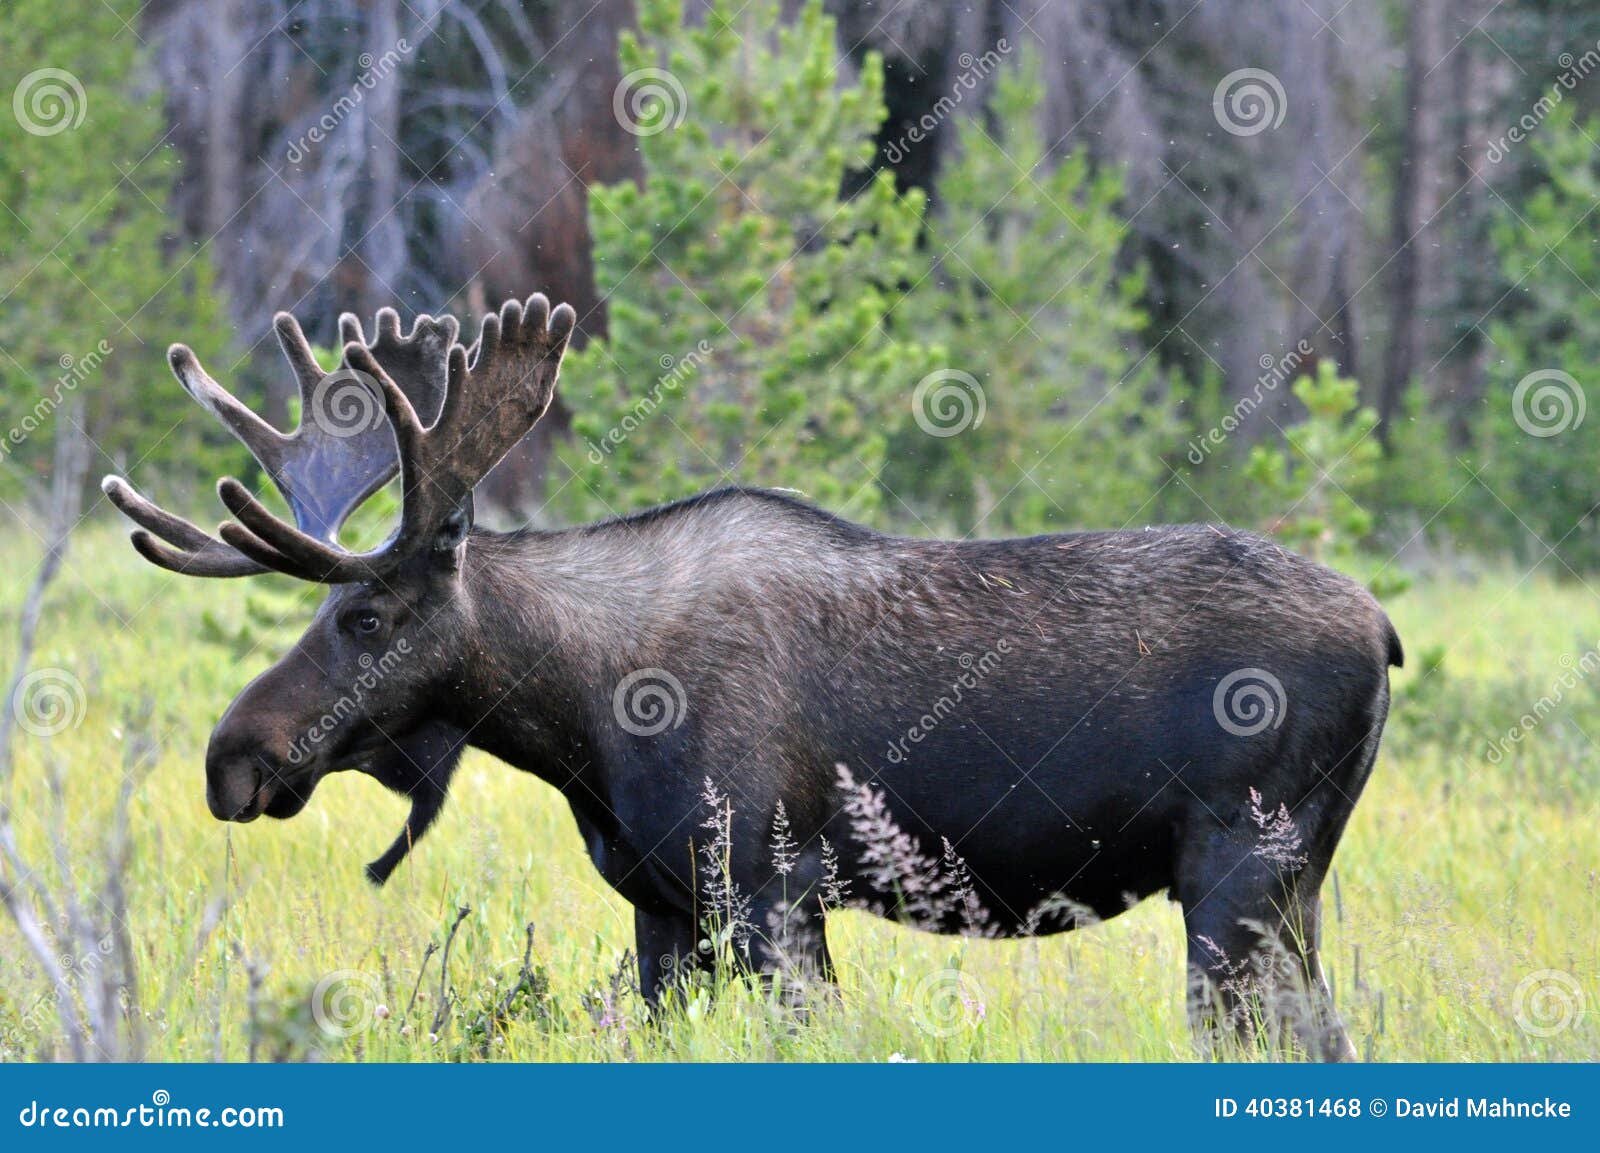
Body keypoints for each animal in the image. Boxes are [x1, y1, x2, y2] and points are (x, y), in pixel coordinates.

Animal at [105, 294, 1402, 1061]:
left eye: (366, 614)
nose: (233, 757)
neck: (577, 720)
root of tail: (1384, 629)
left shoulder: (774, 890)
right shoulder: (663, 909)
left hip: (1242, 871)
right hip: (1281, 887)